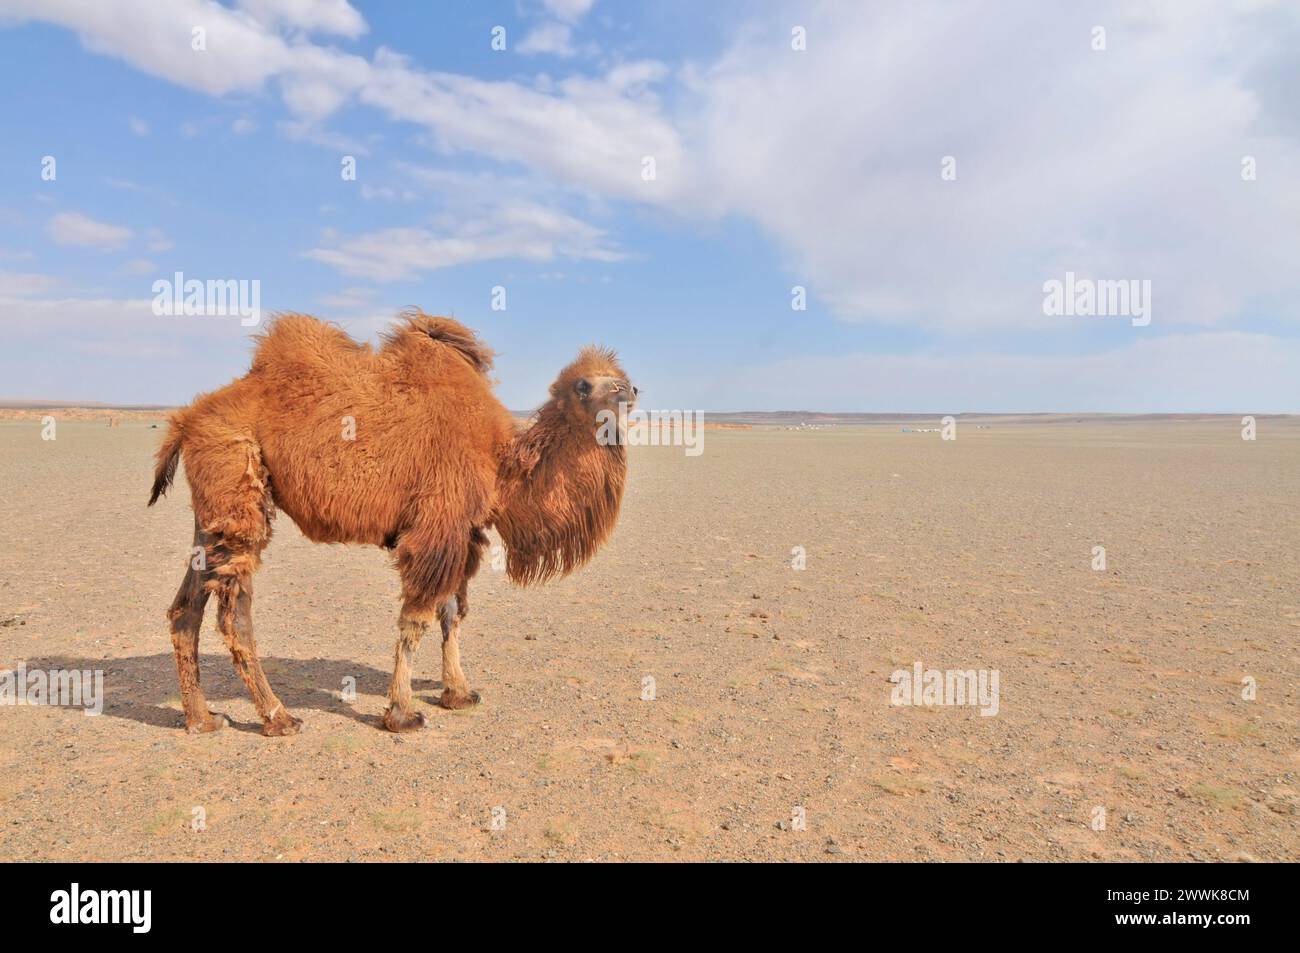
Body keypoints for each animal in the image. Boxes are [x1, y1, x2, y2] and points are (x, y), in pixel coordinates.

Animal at [148, 309, 634, 735]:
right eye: (584, 384)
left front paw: (458, 693)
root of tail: (185, 421)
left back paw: (202, 719)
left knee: (186, 608)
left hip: (213, 513)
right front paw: (402, 714)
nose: (629, 389)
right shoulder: (437, 526)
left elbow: (452, 612)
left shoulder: (462, 531)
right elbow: (416, 619)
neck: (502, 462)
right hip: (238, 489)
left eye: (620, 375)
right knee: (235, 615)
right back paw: (279, 718)